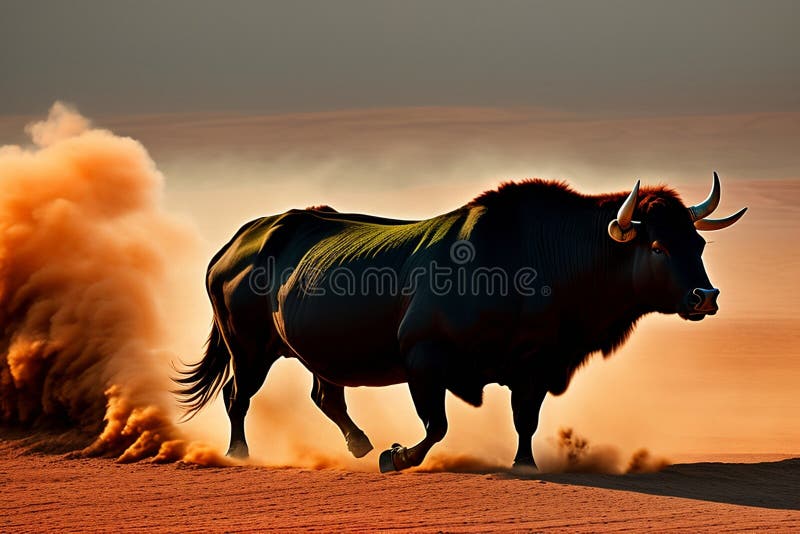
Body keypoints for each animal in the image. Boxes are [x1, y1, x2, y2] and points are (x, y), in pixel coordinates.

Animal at [174, 173, 746, 472]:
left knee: (326, 395)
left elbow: (524, 420)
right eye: (658, 245)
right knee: (238, 397)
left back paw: (358, 445)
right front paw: (397, 456)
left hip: (313, 353)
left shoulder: (535, 368)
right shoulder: (424, 357)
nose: (705, 296)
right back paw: (239, 455)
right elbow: (438, 424)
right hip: (248, 348)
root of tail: (239, 241)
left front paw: (524, 464)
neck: (534, 260)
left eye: (696, 243)